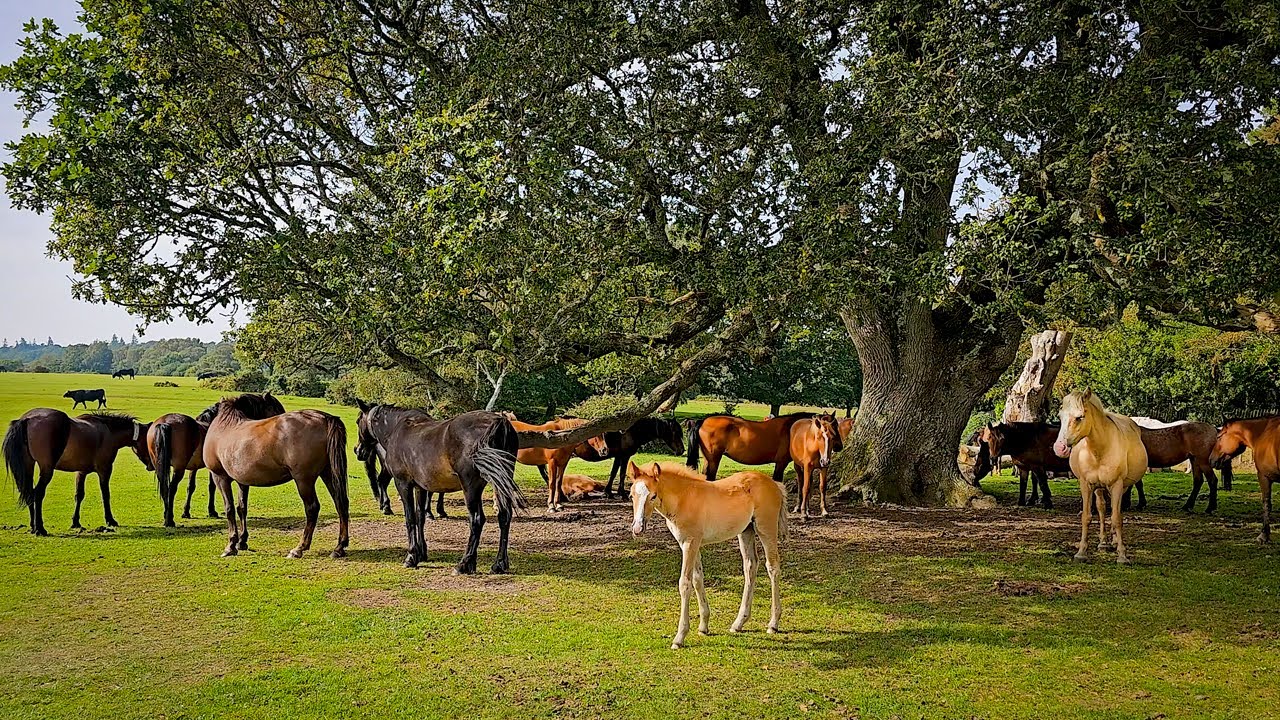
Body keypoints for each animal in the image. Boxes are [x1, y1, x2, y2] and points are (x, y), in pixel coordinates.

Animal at [4, 409, 146, 534]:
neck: (108, 431)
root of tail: (27, 419)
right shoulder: (105, 469)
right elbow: (105, 494)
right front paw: (110, 520)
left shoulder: (81, 472)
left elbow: (79, 495)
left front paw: (75, 522)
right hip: (46, 469)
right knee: (37, 493)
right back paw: (40, 529)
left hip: (29, 466)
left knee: (29, 492)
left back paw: (33, 526)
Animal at [203, 393, 350, 559]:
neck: (223, 427)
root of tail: (326, 418)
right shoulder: (242, 481)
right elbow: (241, 508)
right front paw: (242, 542)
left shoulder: (220, 477)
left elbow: (229, 509)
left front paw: (230, 546)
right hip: (329, 474)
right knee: (341, 503)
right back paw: (339, 547)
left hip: (304, 480)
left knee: (312, 508)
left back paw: (299, 548)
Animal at [356, 402, 526, 573]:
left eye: (358, 422)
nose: (358, 450)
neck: (397, 428)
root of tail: (498, 421)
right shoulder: (420, 487)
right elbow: (420, 517)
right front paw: (421, 553)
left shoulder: (403, 484)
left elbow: (410, 519)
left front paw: (411, 556)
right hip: (500, 482)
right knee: (504, 516)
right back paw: (499, 564)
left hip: (471, 487)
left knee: (477, 519)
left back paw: (464, 563)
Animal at [628, 461, 787, 649]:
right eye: (631, 496)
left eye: (653, 496)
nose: (638, 528)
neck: (683, 498)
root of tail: (774, 484)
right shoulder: (691, 544)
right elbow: (697, 579)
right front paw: (703, 627)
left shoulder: (690, 544)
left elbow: (685, 583)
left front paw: (679, 637)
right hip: (746, 531)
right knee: (750, 566)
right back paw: (738, 623)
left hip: (766, 529)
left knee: (773, 567)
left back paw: (773, 624)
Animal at [1053, 390, 1148, 564]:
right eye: (1060, 416)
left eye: (1079, 417)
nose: (1059, 448)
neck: (1100, 450)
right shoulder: (1086, 485)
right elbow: (1087, 516)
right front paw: (1081, 552)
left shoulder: (1117, 485)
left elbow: (1116, 518)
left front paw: (1122, 555)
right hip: (1098, 488)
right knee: (1102, 508)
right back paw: (1103, 542)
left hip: (1121, 487)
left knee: (1116, 511)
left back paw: (1114, 541)